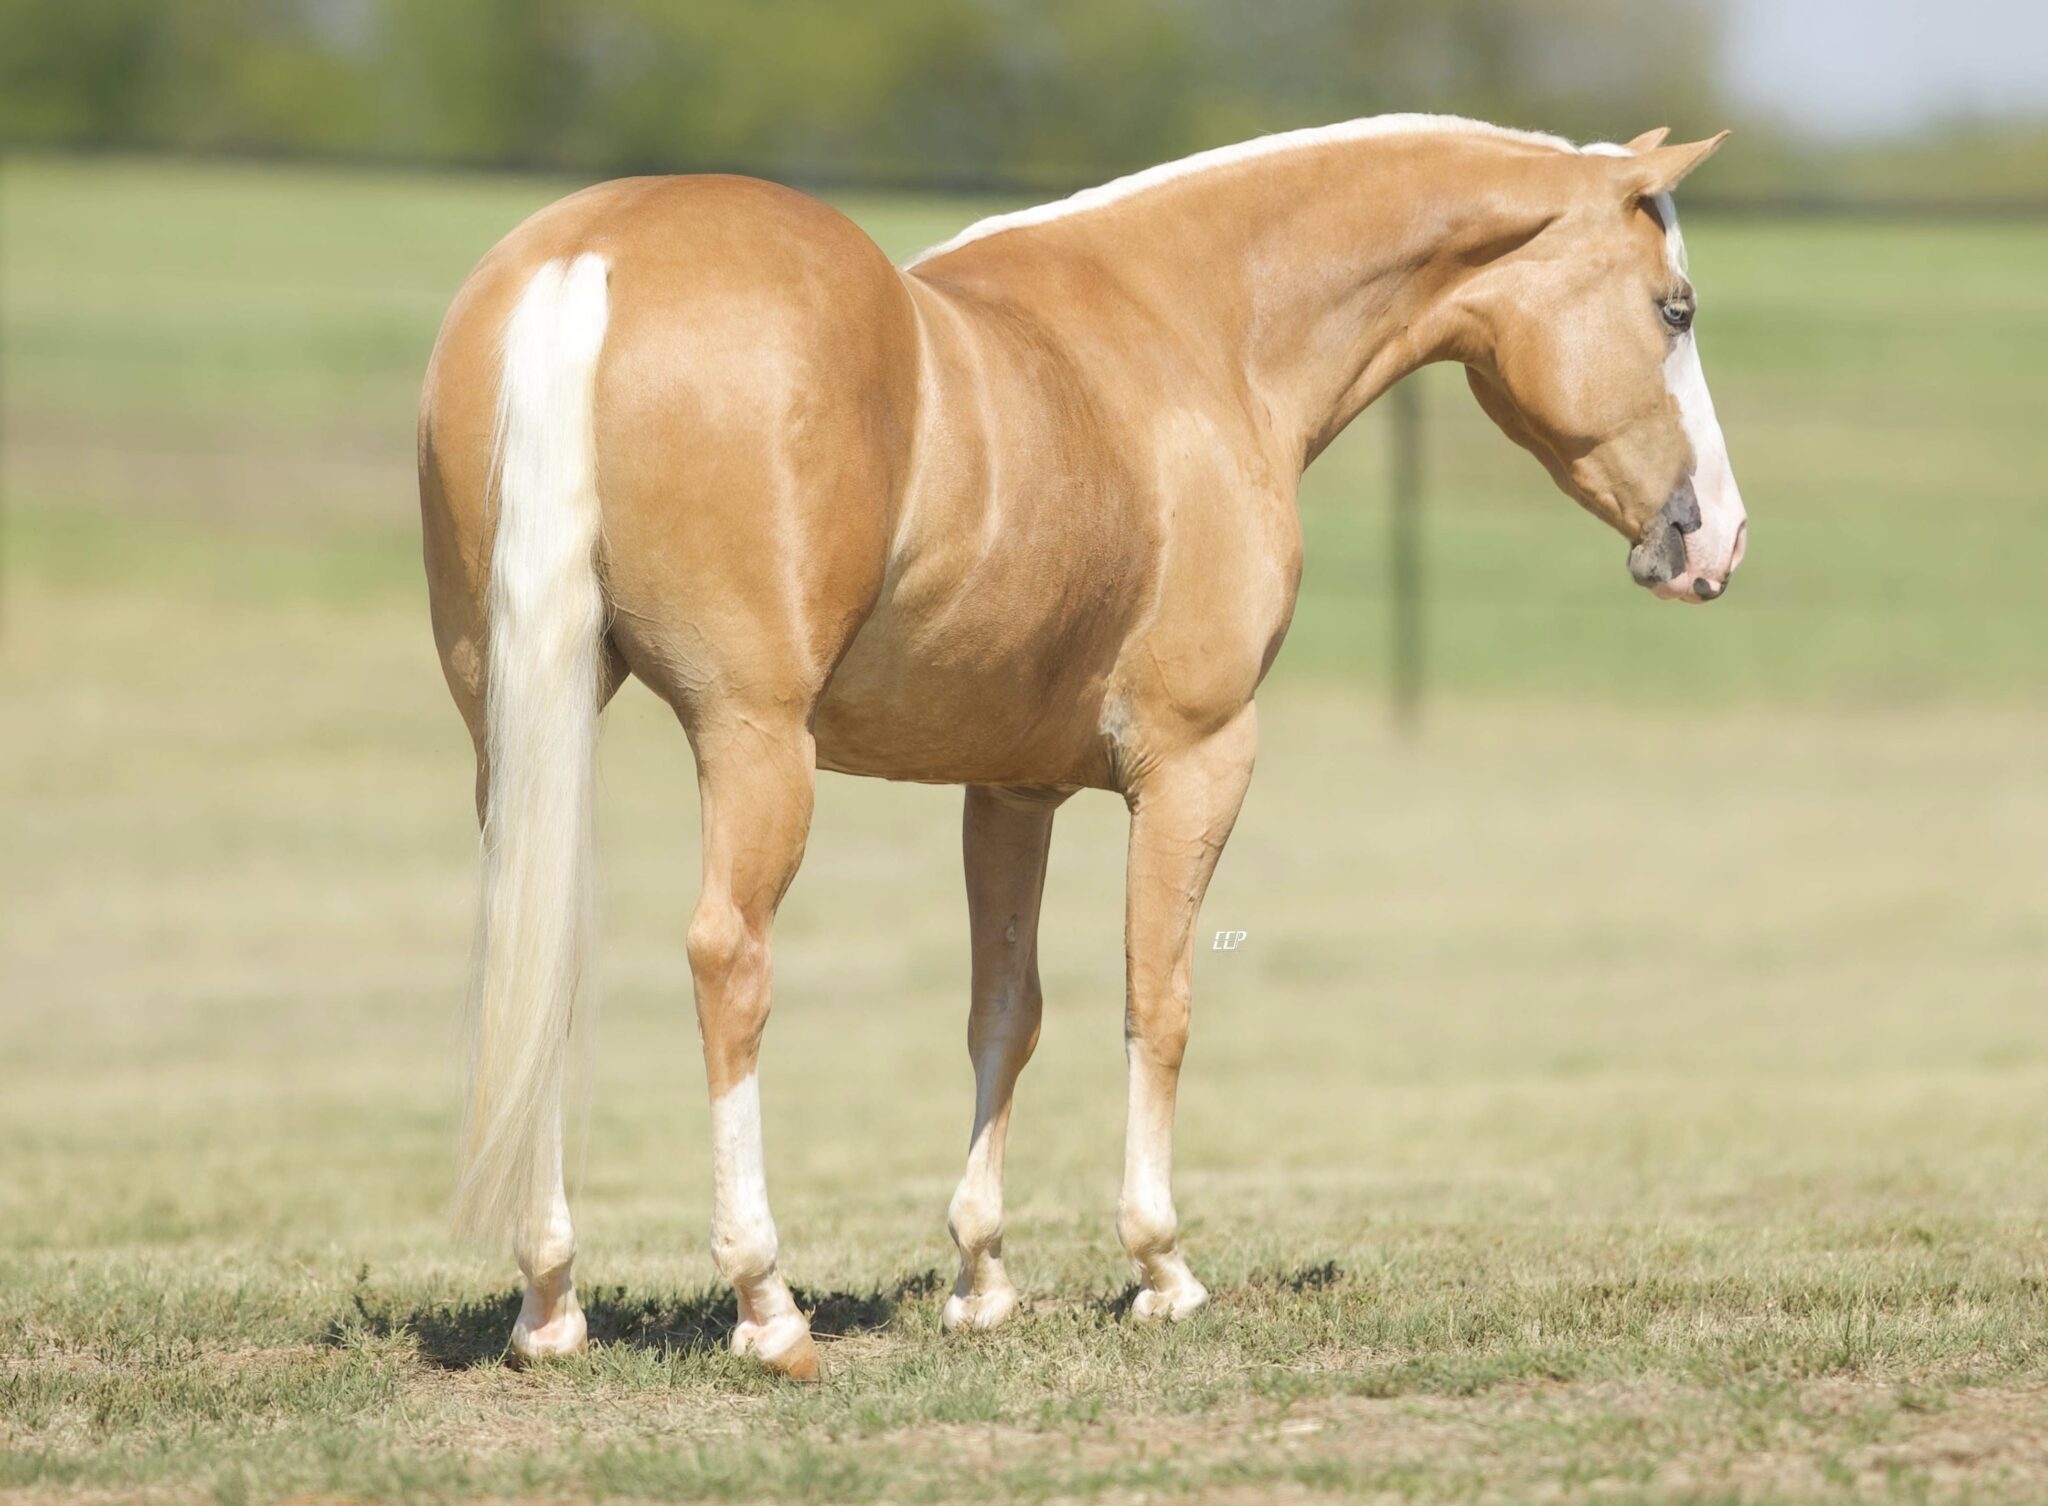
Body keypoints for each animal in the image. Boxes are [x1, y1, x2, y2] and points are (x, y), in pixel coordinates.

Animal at [417, 113, 1747, 1381]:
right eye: (1672, 309)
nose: (1716, 541)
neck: (1193, 333)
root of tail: (588, 260)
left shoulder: (1009, 789)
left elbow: (1004, 1010)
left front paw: (981, 1280)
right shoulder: (1195, 763)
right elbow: (1156, 999)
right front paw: (1159, 1267)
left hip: (515, 725)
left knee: (541, 953)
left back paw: (550, 1304)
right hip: (755, 742)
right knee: (727, 963)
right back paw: (767, 1305)